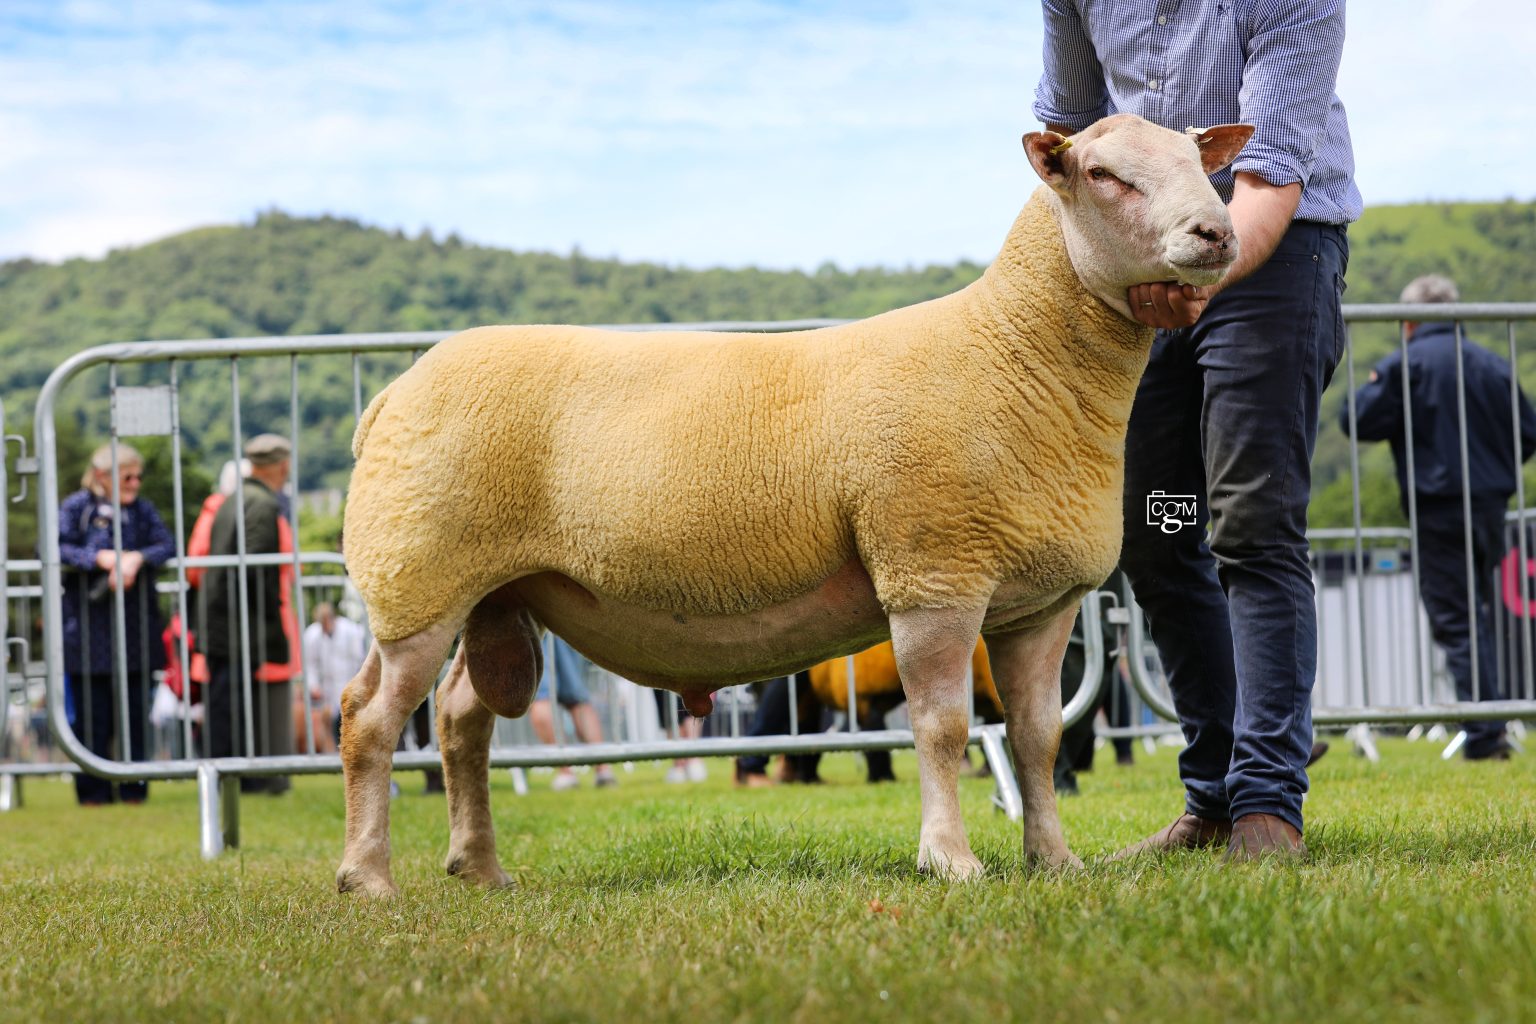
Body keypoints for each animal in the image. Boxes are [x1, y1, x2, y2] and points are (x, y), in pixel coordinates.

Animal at [336, 113, 1253, 896]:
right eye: (1103, 174)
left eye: (1201, 163)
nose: (1217, 235)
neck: (1011, 351)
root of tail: (391, 394)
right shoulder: (932, 572)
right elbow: (943, 729)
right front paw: (950, 860)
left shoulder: (1043, 603)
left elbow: (1037, 737)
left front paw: (1054, 861)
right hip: (418, 579)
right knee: (369, 719)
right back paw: (369, 878)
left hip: (492, 591)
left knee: (461, 721)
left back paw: (480, 869)